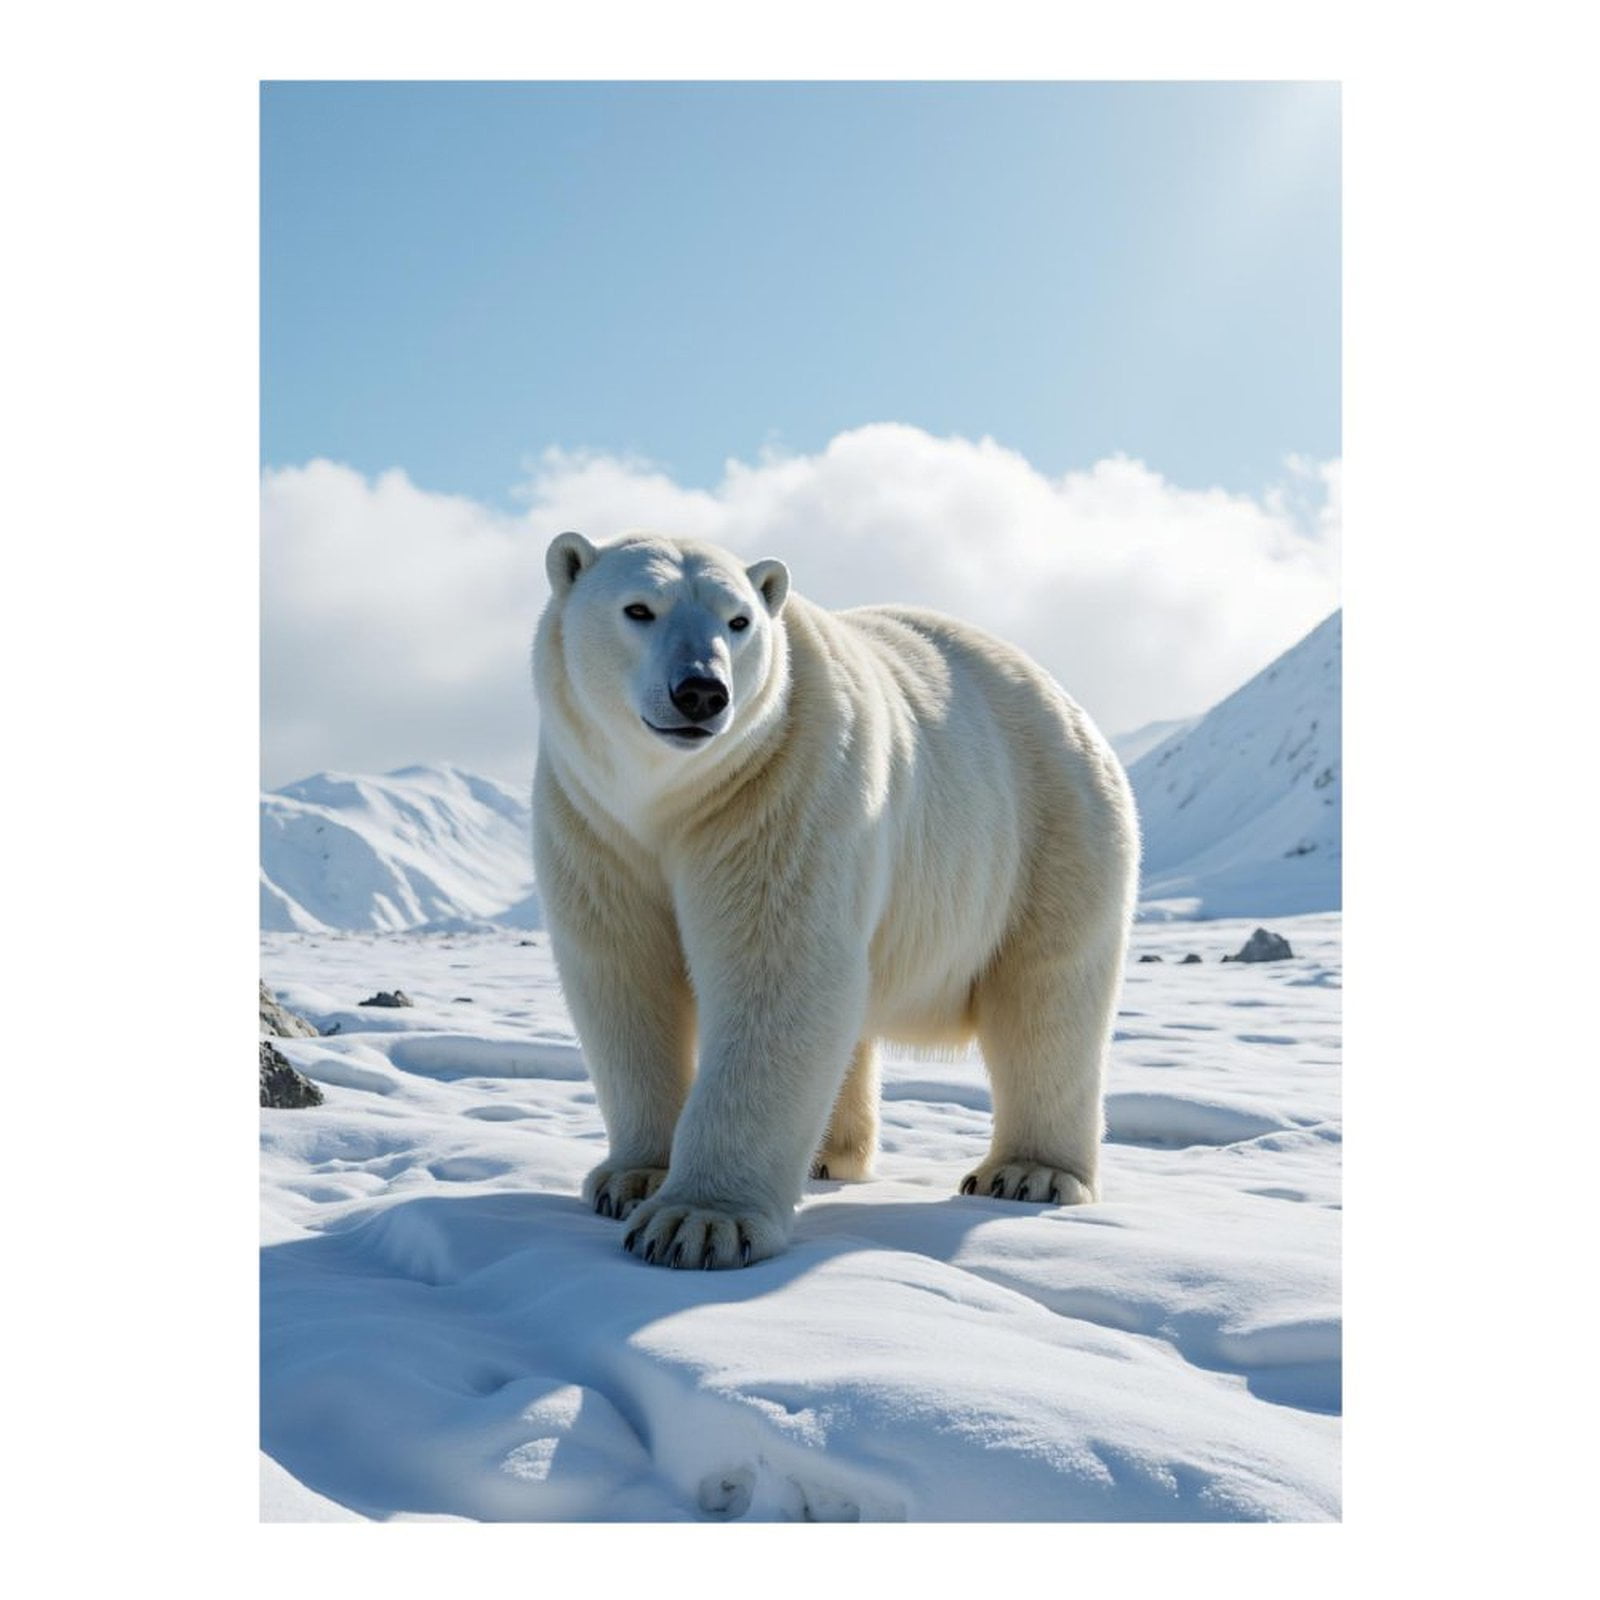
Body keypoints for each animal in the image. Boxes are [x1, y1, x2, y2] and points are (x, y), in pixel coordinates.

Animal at [531, 531, 1139, 1270]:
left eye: (739, 620)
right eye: (639, 608)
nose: (702, 691)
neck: (670, 799)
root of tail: (1065, 698)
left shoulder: (781, 789)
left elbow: (776, 969)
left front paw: (695, 1224)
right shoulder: (594, 824)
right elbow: (623, 978)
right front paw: (630, 1178)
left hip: (1048, 830)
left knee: (1048, 999)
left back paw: (1029, 1172)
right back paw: (826, 1154)